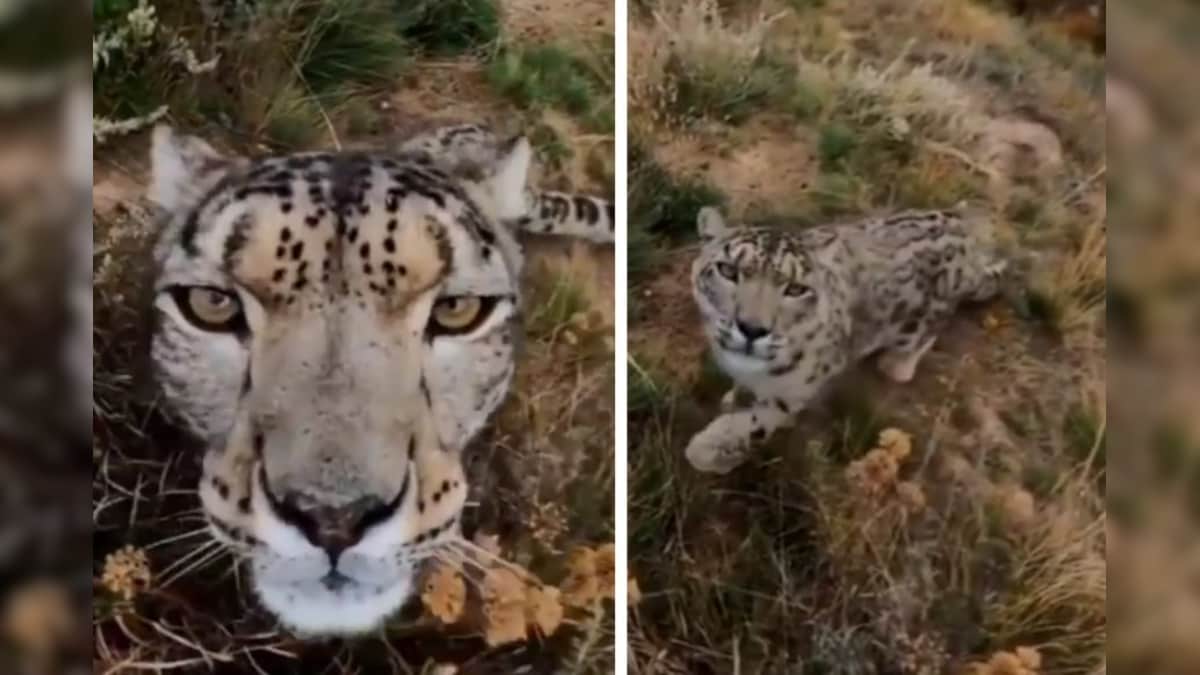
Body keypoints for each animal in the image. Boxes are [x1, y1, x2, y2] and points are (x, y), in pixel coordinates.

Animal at [686, 205, 1007, 474]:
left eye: (795, 289)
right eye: (728, 270)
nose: (752, 329)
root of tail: (960, 224)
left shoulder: (796, 389)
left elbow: (759, 419)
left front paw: (709, 449)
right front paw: (732, 400)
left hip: (927, 317)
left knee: (923, 336)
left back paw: (897, 363)